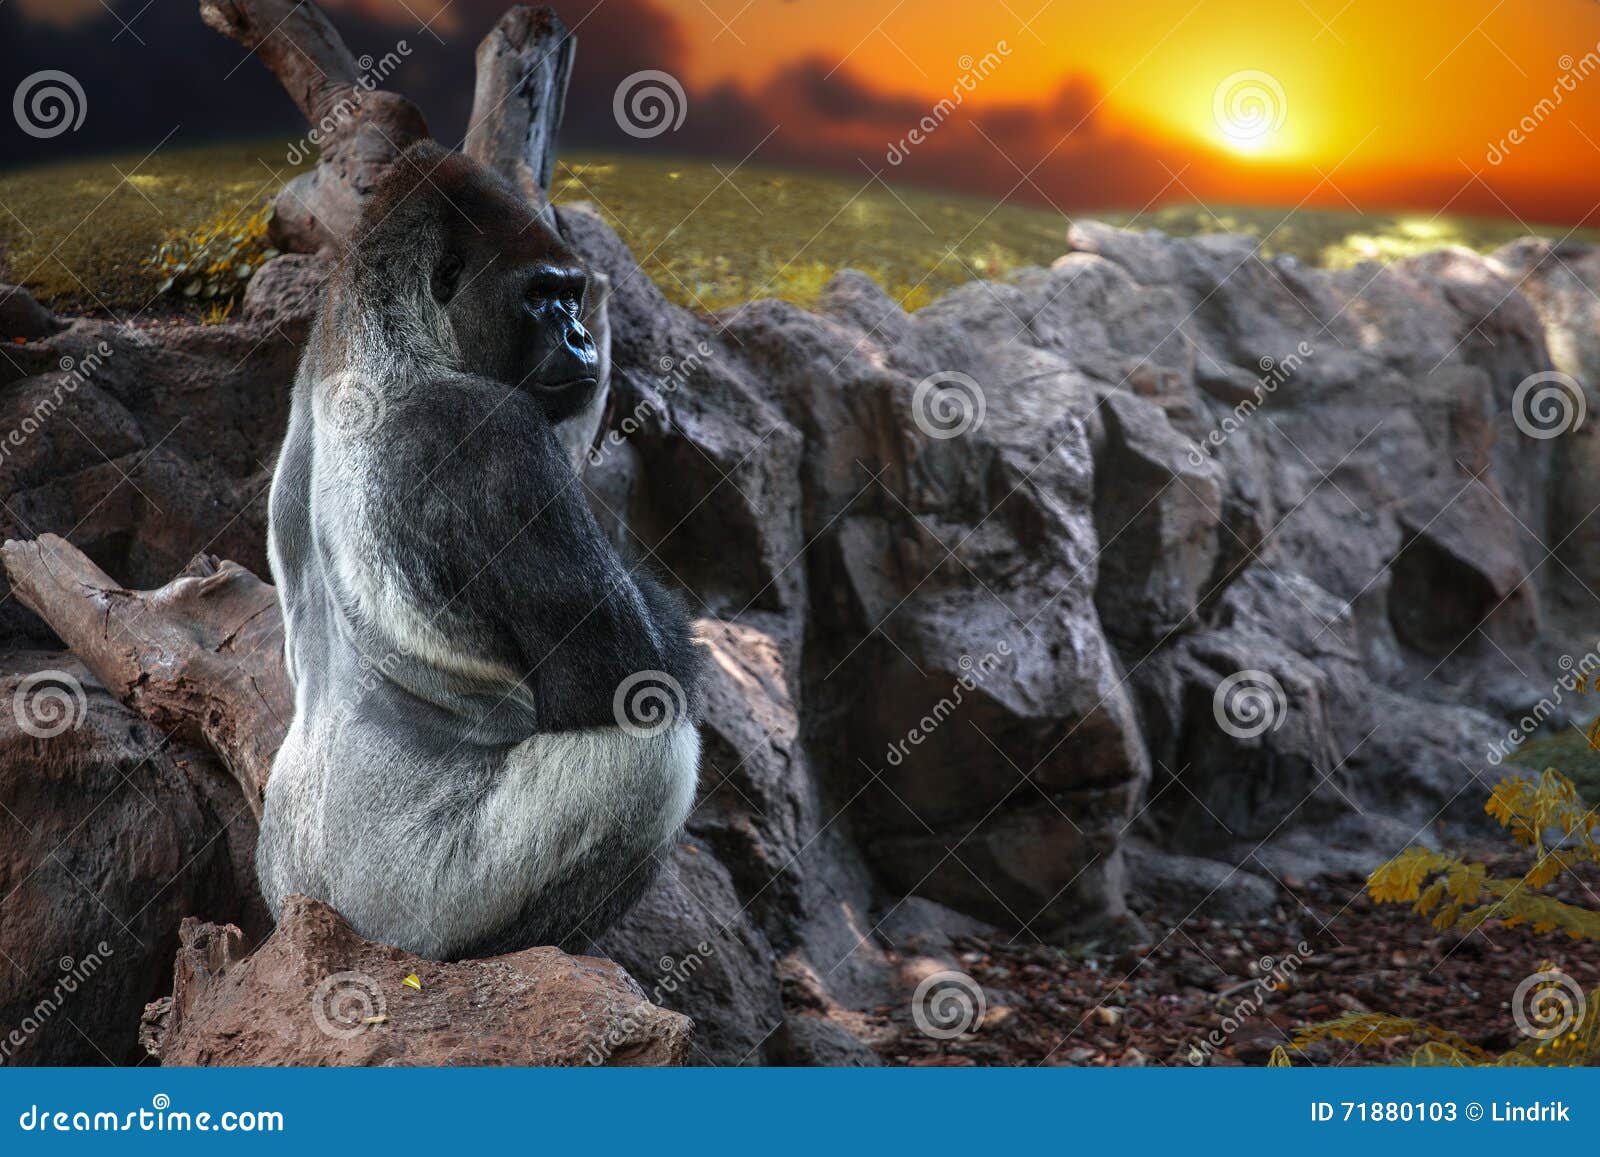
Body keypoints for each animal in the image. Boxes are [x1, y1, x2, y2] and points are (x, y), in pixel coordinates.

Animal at [258, 139, 703, 961]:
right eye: (541, 297)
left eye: (571, 295)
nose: (580, 337)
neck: (380, 333)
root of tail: (316, 914)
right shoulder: (494, 429)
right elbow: (632, 678)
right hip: (415, 916)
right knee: (649, 755)